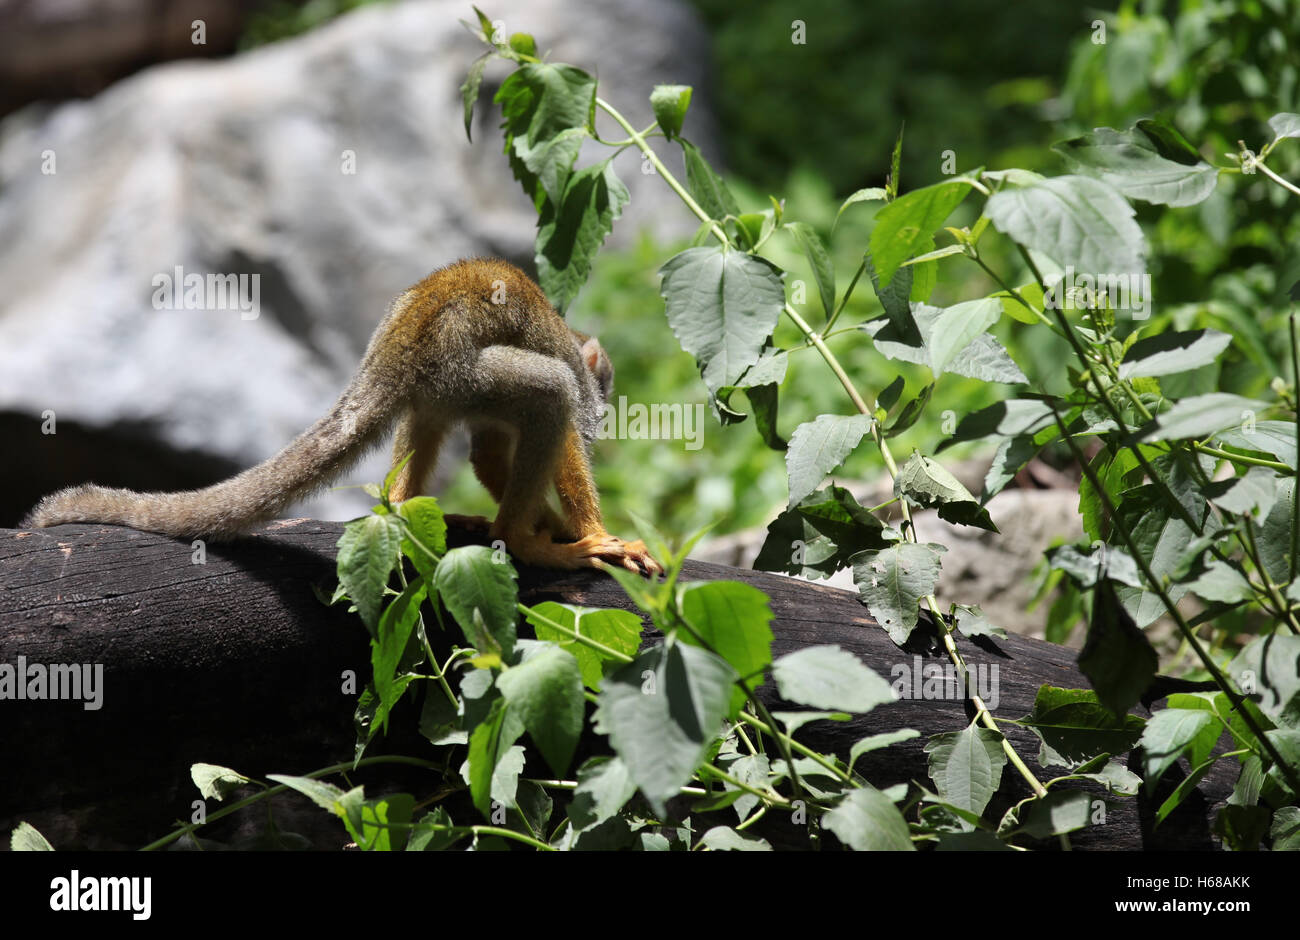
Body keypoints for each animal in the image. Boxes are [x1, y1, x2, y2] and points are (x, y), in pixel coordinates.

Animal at [23, 258, 661, 575]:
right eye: (607, 390)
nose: (607, 408)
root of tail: (395, 349)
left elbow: (486, 455)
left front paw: (551, 525)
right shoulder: (574, 382)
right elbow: (566, 419)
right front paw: (585, 532)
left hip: (445, 382)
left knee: (433, 422)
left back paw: (411, 508)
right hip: (465, 370)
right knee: (551, 392)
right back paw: (522, 542)